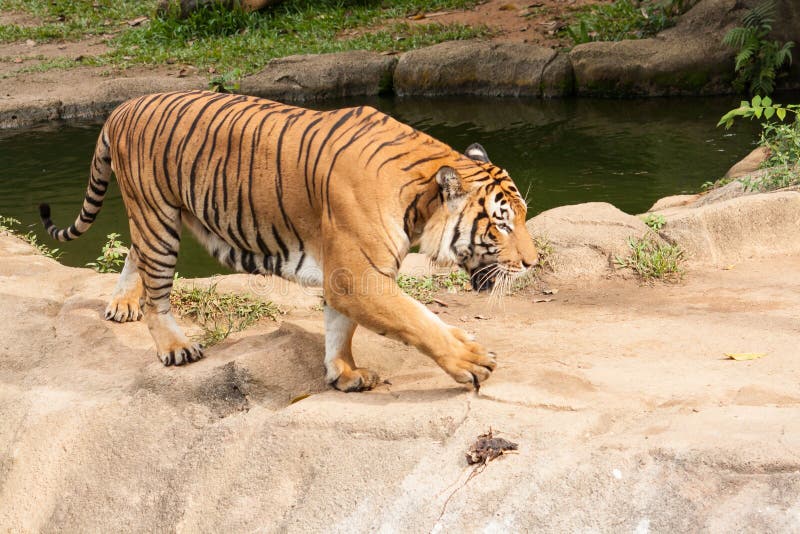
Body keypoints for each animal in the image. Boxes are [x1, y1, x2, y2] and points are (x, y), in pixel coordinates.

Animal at [39, 90, 538, 392]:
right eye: (501, 224)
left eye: (523, 217)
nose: (533, 263)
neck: (419, 199)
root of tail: (123, 105)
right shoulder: (358, 275)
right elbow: (418, 320)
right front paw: (471, 359)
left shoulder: (346, 270)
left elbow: (340, 327)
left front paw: (344, 373)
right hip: (157, 216)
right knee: (157, 293)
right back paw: (174, 347)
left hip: (164, 217)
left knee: (134, 252)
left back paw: (122, 303)